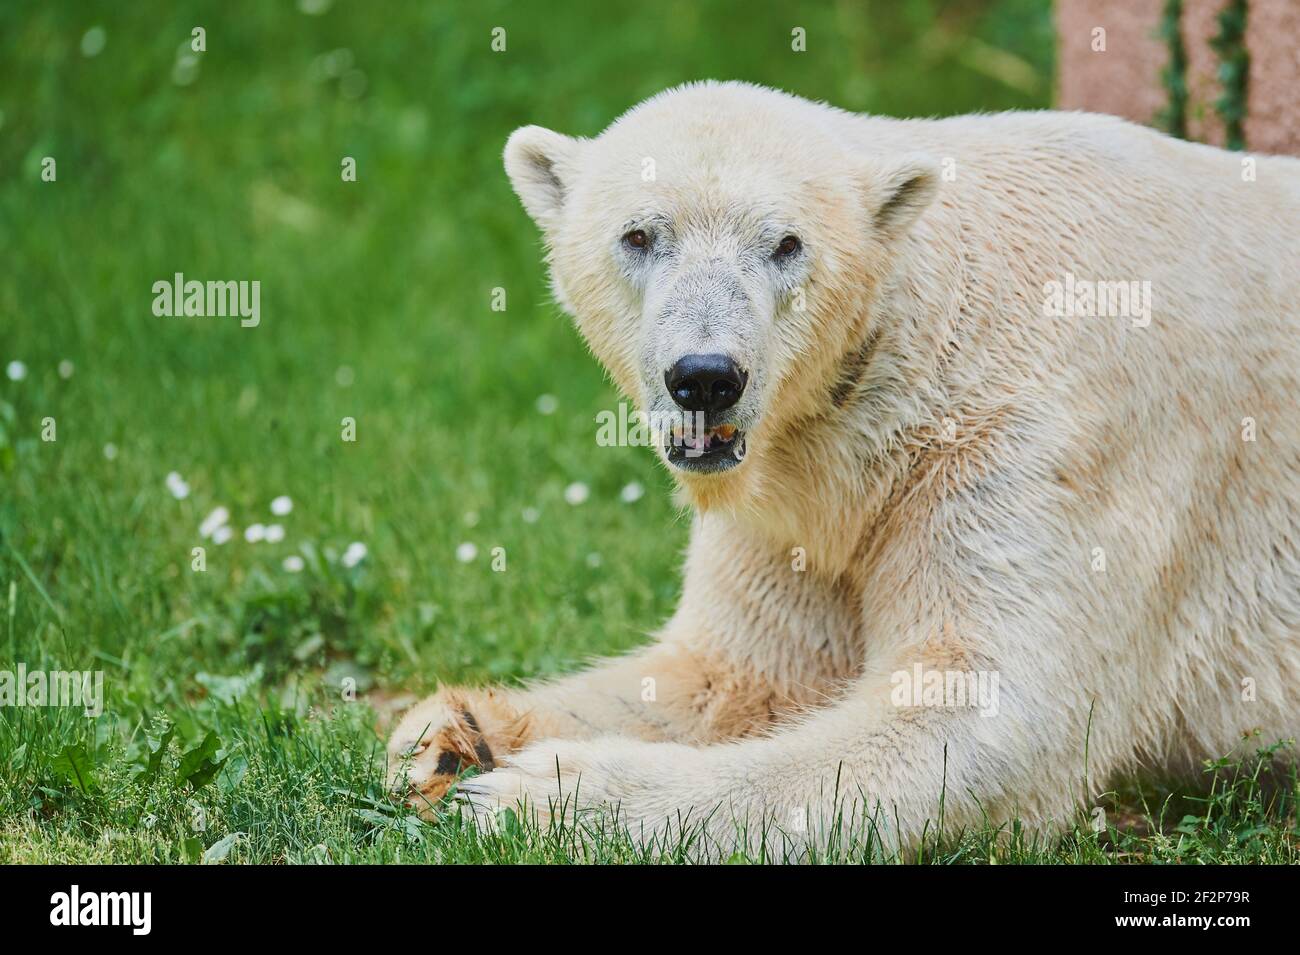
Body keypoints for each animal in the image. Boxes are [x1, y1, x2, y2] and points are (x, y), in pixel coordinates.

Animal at [388, 81, 1300, 857]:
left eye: (787, 243)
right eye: (639, 235)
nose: (706, 377)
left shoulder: (1043, 444)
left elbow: (982, 716)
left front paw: (538, 798)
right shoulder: (790, 499)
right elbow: (732, 673)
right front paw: (447, 735)